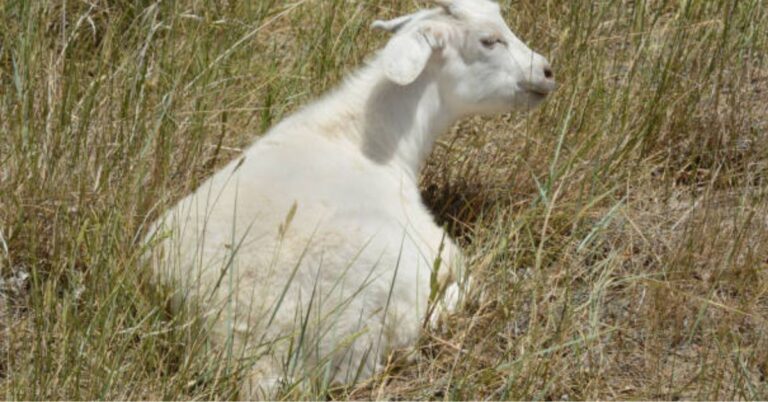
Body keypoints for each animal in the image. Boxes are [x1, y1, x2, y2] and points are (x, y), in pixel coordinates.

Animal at [148, 0, 555, 397]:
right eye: (489, 41)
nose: (547, 71)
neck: (366, 138)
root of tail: (252, 358)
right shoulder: (436, 245)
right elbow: (467, 275)